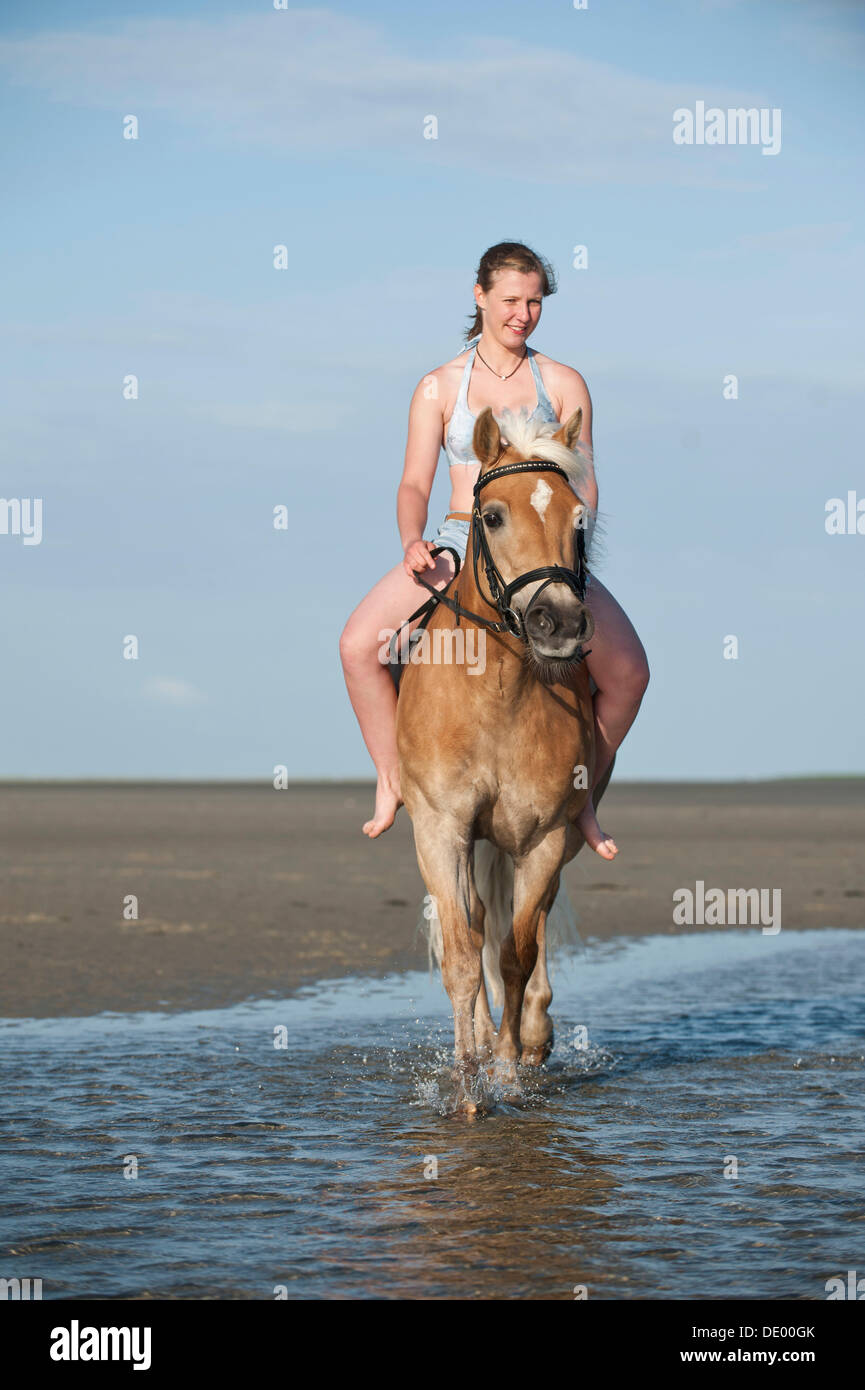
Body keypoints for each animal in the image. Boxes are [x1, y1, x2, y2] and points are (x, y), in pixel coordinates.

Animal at [396, 404, 612, 1104]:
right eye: (492, 516)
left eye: (579, 520)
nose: (560, 623)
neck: (497, 693)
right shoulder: (442, 831)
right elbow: (465, 959)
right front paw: (467, 1082)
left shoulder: (542, 838)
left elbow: (516, 954)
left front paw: (510, 1070)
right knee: (477, 928)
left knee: (527, 931)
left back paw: (533, 1036)